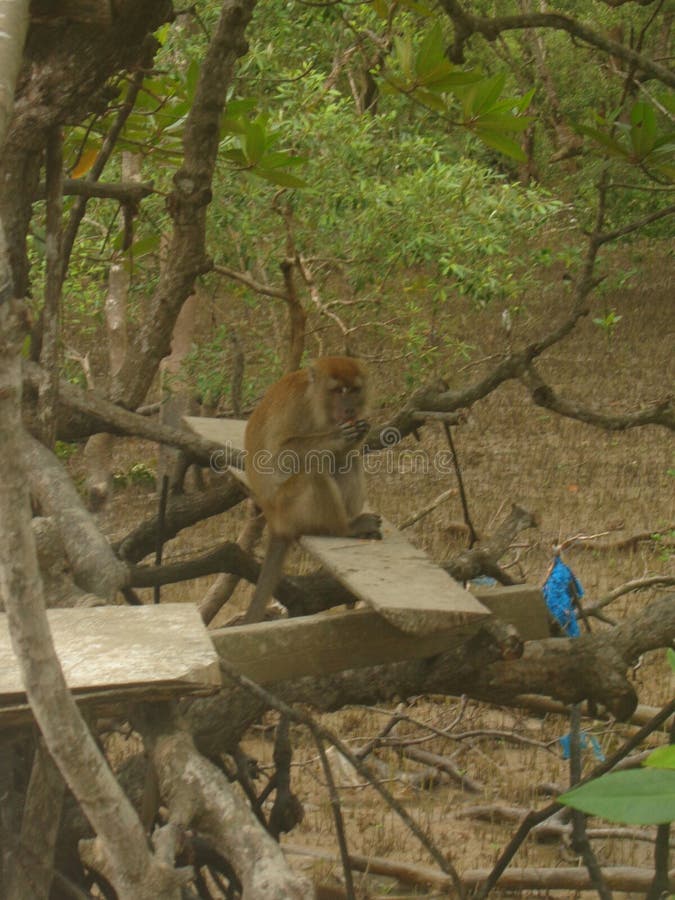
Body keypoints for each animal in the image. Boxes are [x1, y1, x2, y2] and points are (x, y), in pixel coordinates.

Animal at [243, 356, 381, 623]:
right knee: (313, 472)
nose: (349, 410)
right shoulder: (296, 406)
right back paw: (345, 529)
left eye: (354, 390)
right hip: (288, 507)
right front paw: (338, 436)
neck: (316, 403)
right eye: (339, 391)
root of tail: (275, 520)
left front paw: (360, 429)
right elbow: (278, 457)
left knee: (346, 458)